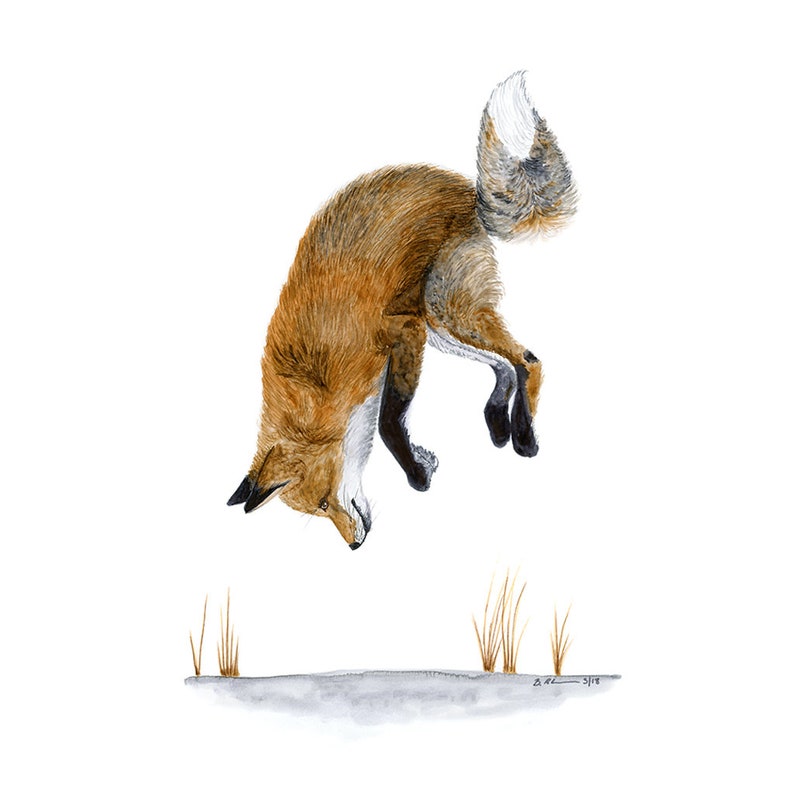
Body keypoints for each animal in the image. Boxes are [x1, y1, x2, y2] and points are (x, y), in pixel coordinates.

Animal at [227, 71, 576, 549]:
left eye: (323, 503)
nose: (355, 547)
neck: (314, 376)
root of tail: (463, 185)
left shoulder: (402, 333)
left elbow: (389, 422)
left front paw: (417, 476)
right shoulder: (408, 339)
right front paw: (424, 463)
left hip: (443, 312)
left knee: (527, 359)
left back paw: (523, 436)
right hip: (441, 327)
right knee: (504, 364)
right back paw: (496, 422)